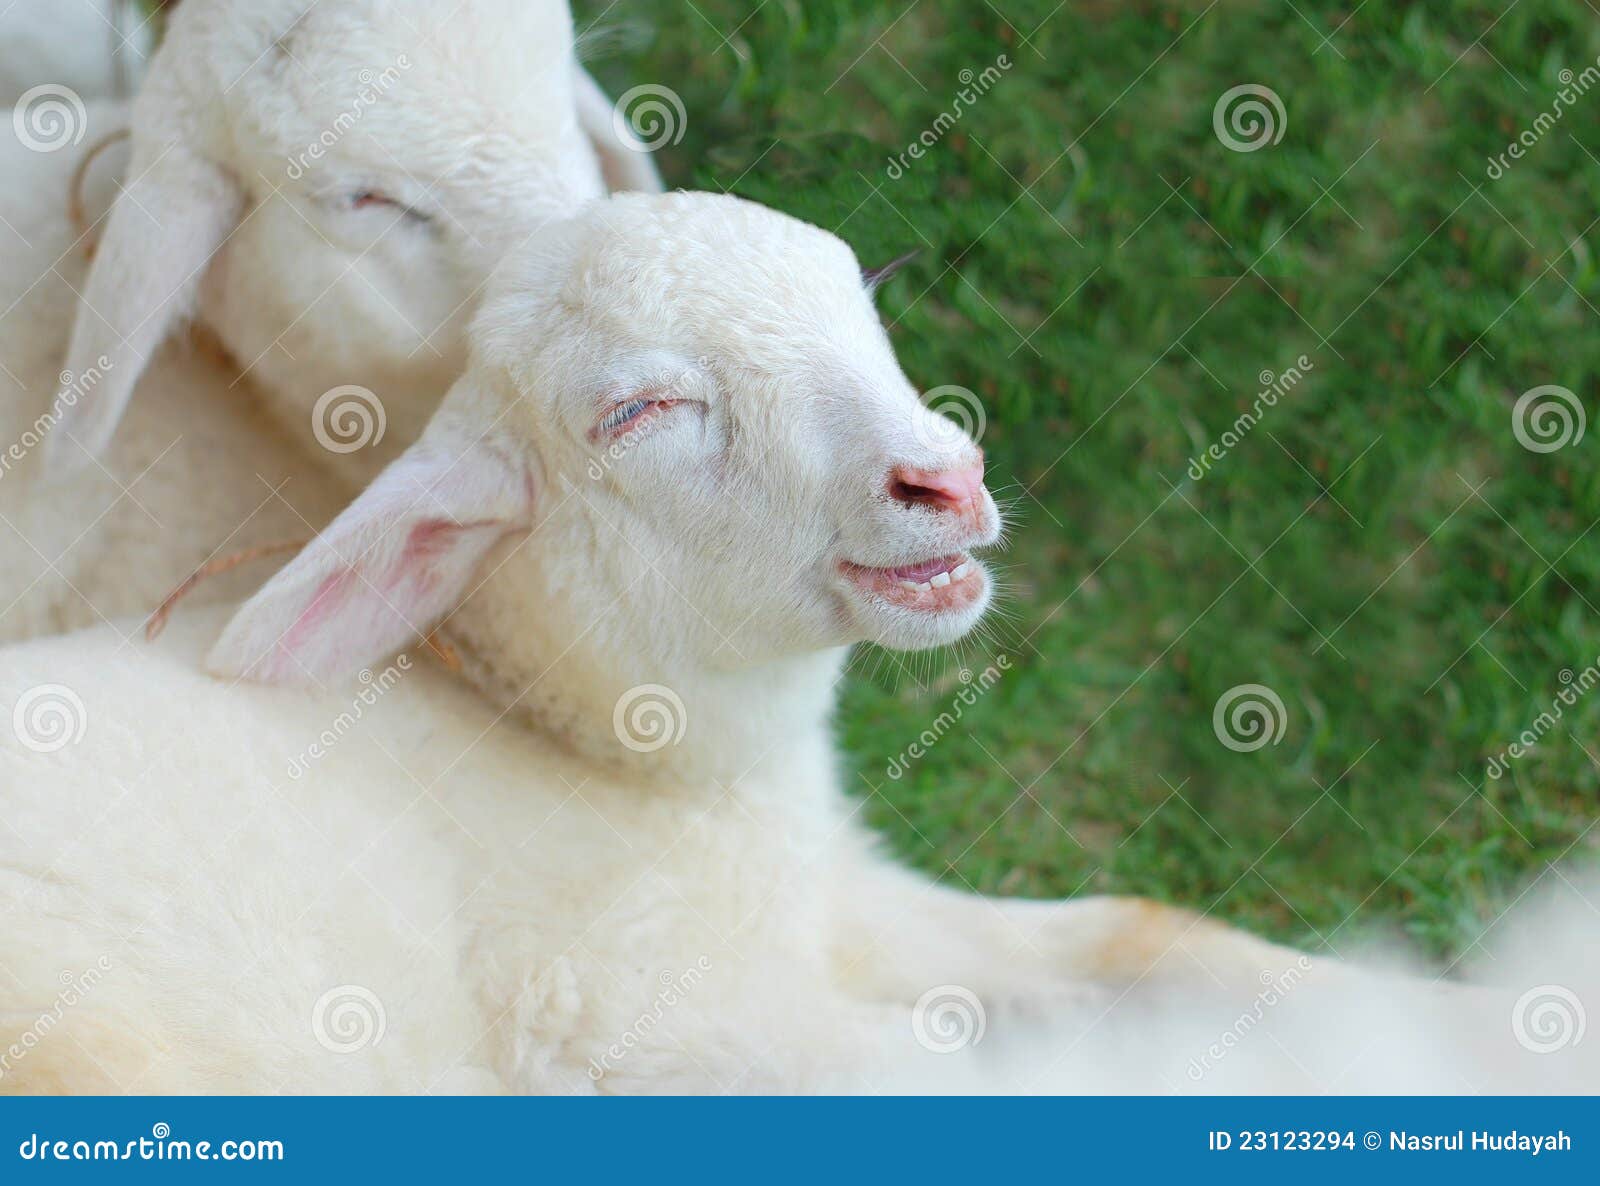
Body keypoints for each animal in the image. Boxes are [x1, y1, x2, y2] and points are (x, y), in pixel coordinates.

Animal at [3, 191, 1591, 1094]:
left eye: (864, 296)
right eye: (638, 412)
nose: (943, 475)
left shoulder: (842, 900)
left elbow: (1147, 929)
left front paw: (1488, 1019)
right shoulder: (659, 1022)